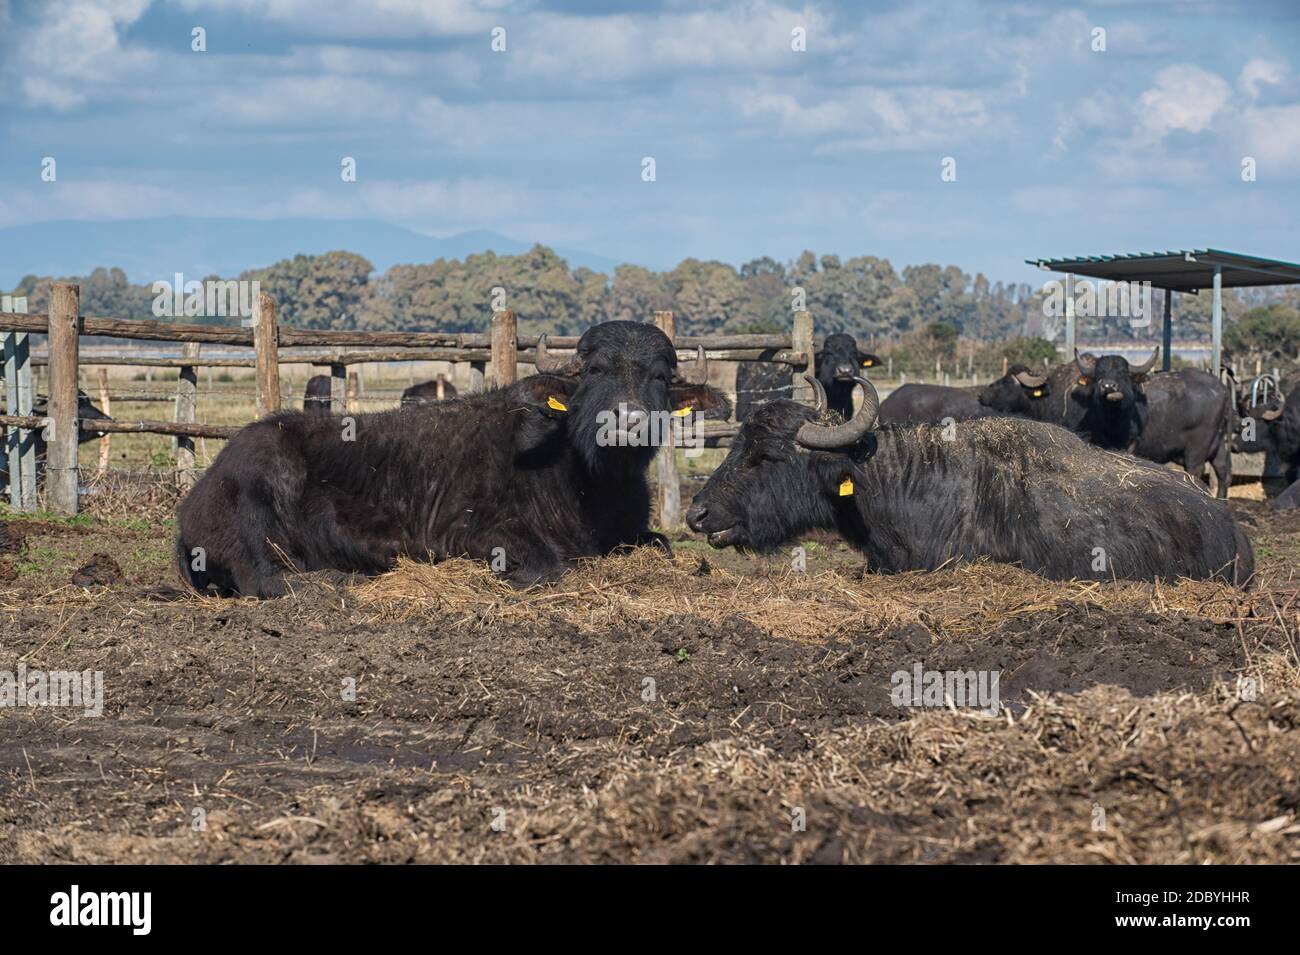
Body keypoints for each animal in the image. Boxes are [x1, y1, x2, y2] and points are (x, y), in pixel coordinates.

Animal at [176, 321, 730, 597]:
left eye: (660, 377)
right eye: (594, 371)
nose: (628, 421)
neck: (585, 483)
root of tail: (197, 496)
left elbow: (664, 547)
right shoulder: (470, 533)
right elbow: (549, 567)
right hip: (260, 508)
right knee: (263, 578)